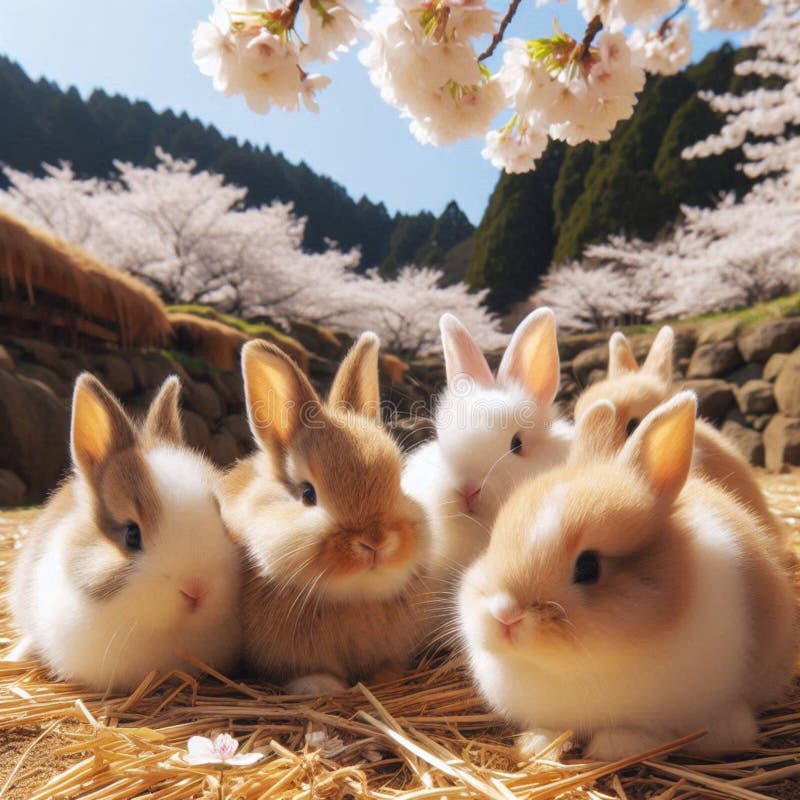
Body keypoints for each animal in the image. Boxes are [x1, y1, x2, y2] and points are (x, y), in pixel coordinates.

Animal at [219, 333, 431, 695]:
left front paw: (385, 677)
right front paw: (321, 687)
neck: (352, 600)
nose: (376, 542)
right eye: (308, 494)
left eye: (398, 484)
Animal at [459, 391, 798, 762]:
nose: (505, 616)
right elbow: (550, 730)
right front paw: (535, 745)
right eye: (494, 540)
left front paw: (613, 746)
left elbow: (640, 735)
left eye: (589, 567)